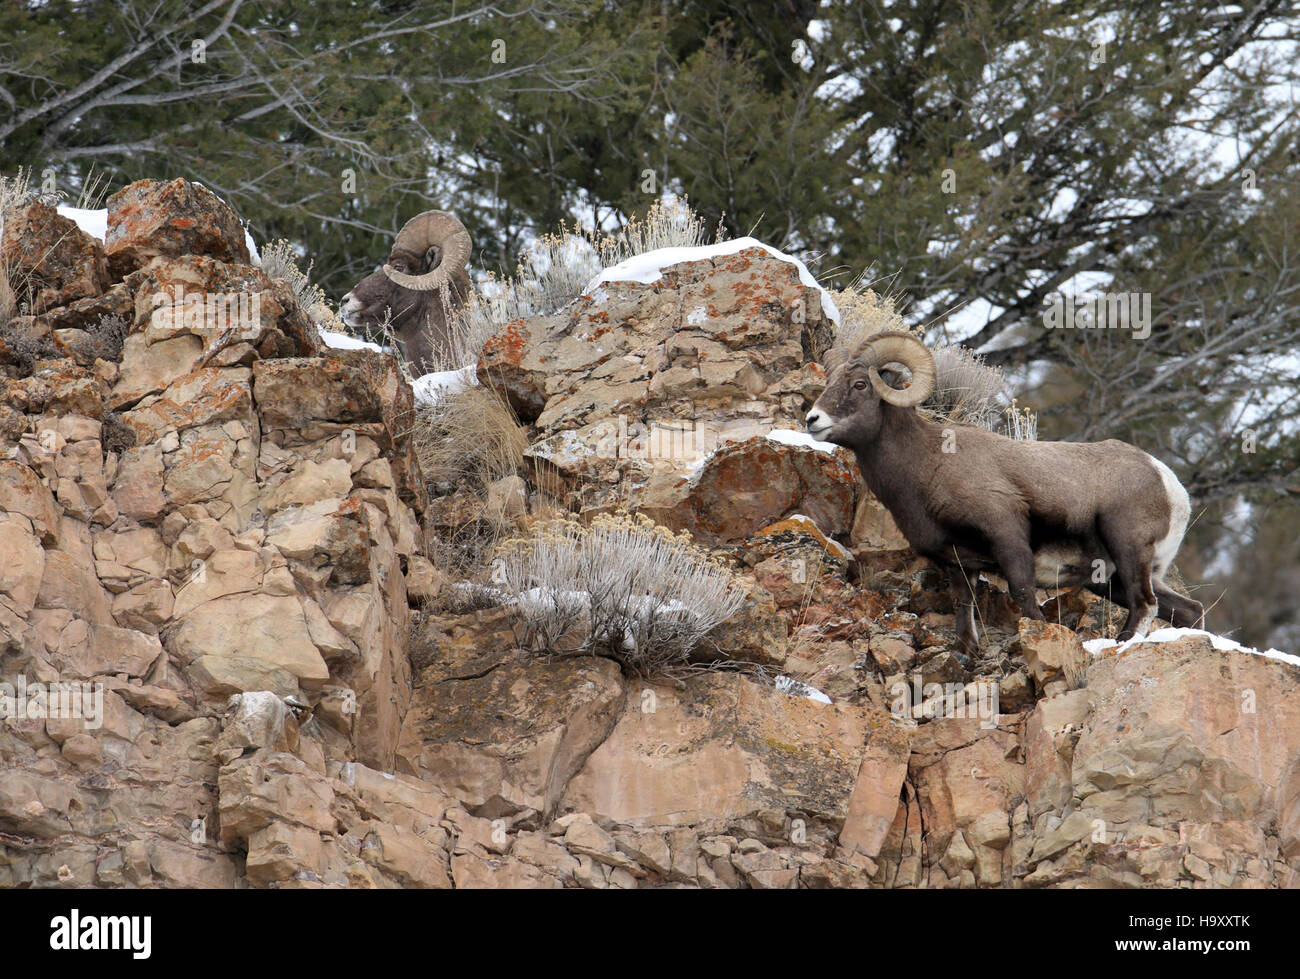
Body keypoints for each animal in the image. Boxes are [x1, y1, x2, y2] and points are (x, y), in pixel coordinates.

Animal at [805, 331, 1204, 657]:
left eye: (860, 385)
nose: (812, 420)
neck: (928, 464)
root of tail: (1170, 484)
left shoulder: (1007, 538)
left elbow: (1025, 599)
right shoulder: (957, 563)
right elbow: (963, 608)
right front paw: (967, 652)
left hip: (1128, 551)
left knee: (1145, 604)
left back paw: (1121, 644)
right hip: (1112, 579)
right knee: (1187, 610)